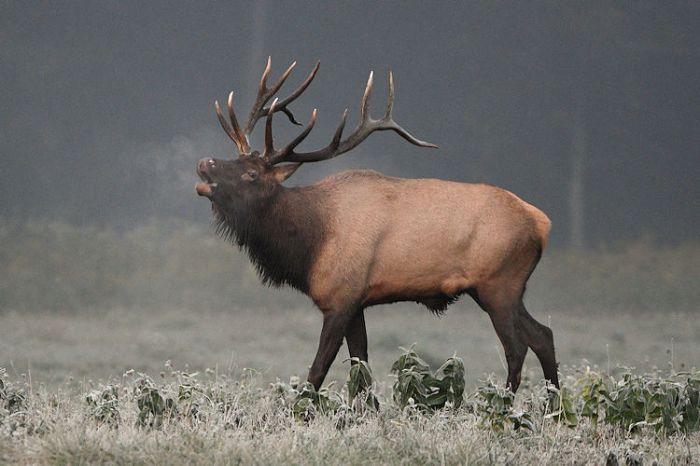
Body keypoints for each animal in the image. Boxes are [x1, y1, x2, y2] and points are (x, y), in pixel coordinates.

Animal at [195, 58, 559, 393]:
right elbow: (363, 372)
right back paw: (553, 407)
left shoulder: (340, 297)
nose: (204, 163)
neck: (310, 244)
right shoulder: (356, 303)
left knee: (517, 348)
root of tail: (541, 222)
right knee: (544, 335)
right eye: (235, 159)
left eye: (251, 174)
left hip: (499, 284)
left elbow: (318, 372)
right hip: (503, 289)